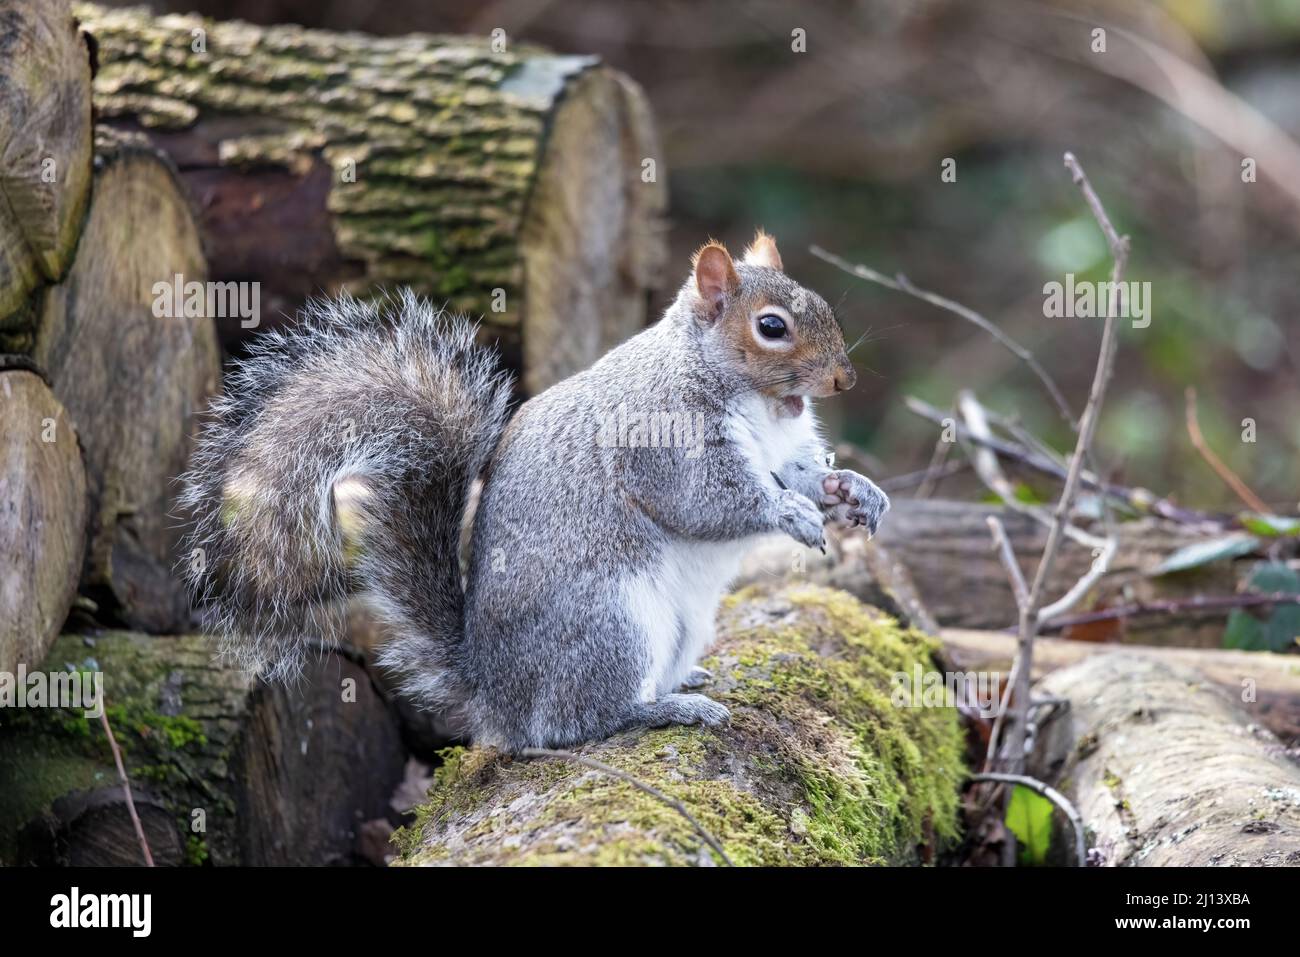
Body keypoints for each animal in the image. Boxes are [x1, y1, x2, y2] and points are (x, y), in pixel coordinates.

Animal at [179, 231, 889, 752]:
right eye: (771, 327)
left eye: (820, 303)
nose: (846, 380)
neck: (761, 401)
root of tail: (494, 695)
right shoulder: (661, 432)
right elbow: (703, 500)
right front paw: (789, 512)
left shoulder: (786, 447)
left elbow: (806, 471)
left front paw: (854, 490)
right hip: (611, 621)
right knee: (572, 724)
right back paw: (663, 711)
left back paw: (681, 682)